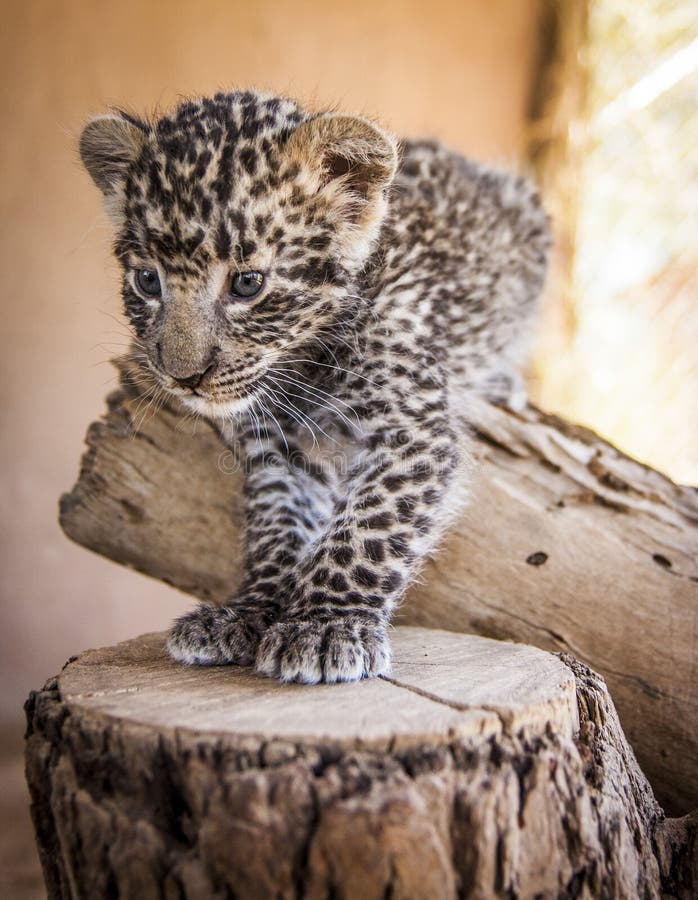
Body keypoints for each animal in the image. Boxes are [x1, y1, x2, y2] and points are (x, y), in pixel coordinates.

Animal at [79, 89, 551, 684]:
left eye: (248, 284)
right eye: (147, 281)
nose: (183, 376)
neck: (303, 367)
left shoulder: (413, 430)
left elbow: (369, 525)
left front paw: (325, 625)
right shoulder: (277, 446)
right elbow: (276, 522)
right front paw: (248, 611)